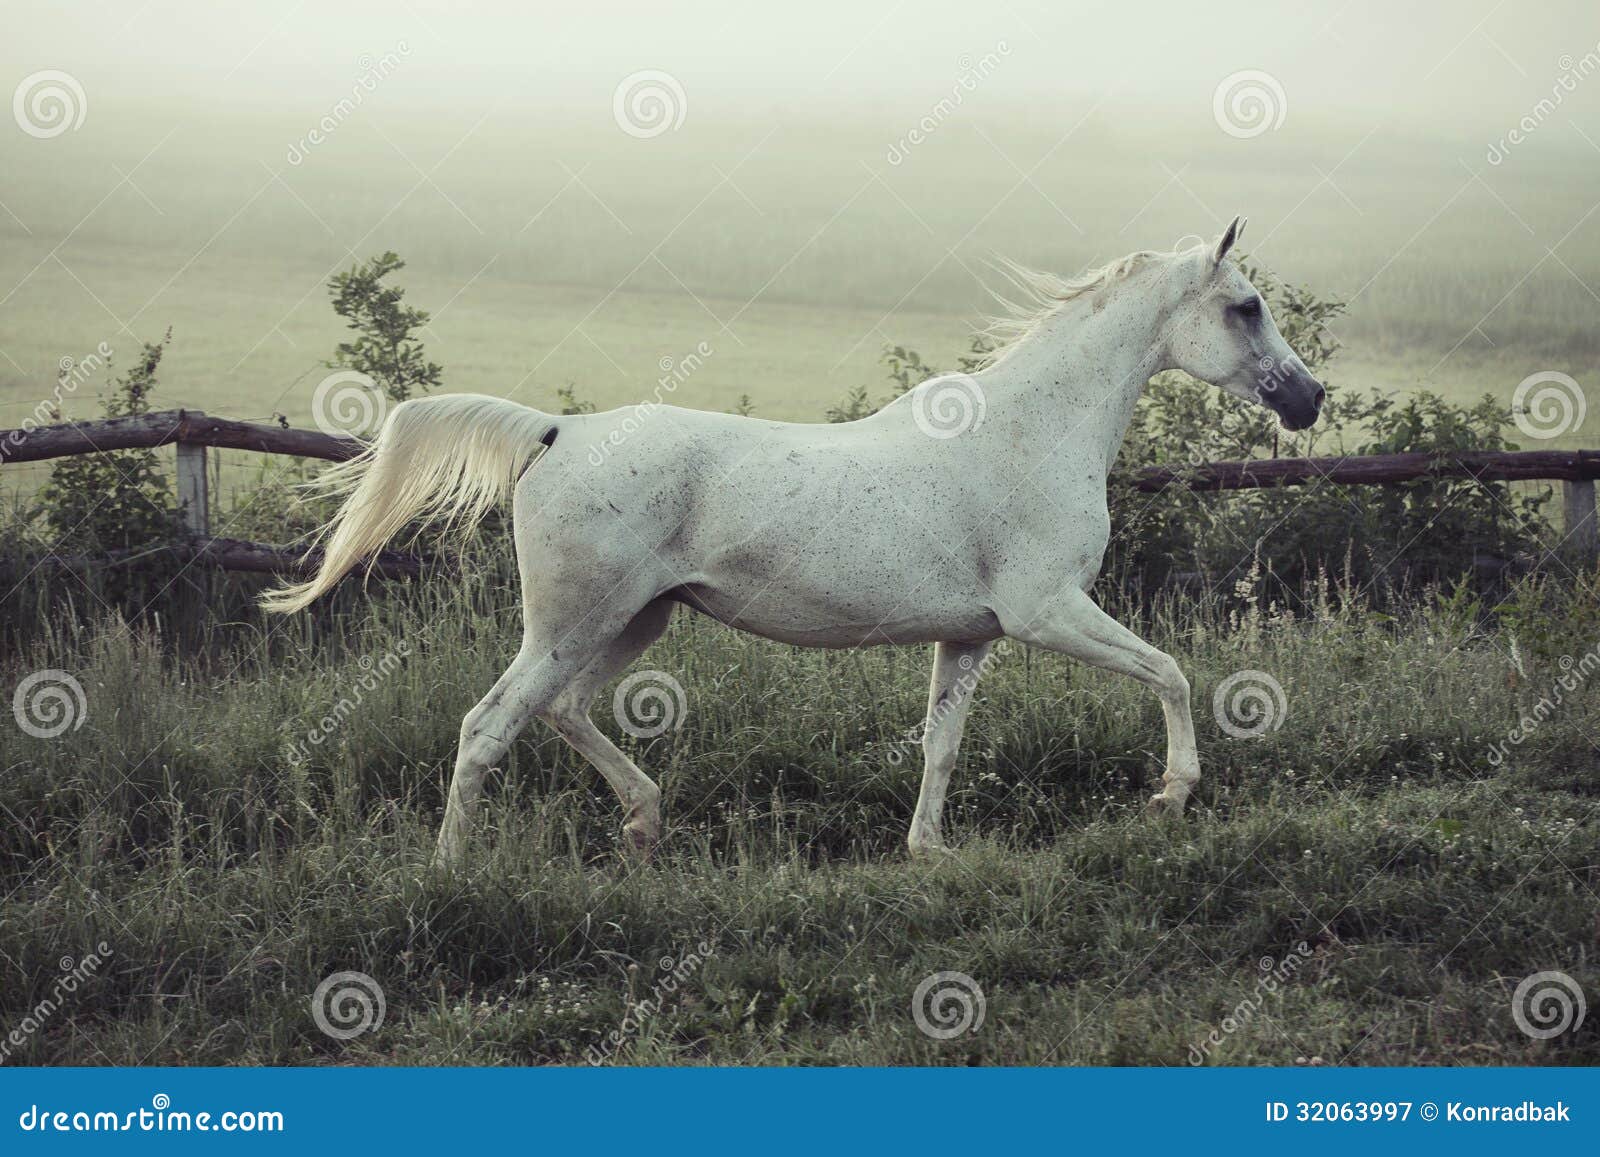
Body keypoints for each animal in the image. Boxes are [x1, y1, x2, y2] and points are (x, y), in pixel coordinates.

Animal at [268, 219, 1324, 870]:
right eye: (1246, 306)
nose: (1309, 400)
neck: (1033, 430)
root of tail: (555, 431)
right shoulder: (1048, 612)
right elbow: (1172, 672)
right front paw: (1173, 797)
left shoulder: (972, 633)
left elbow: (943, 743)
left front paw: (928, 850)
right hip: (571, 622)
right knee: (490, 725)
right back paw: (454, 869)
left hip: (635, 620)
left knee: (561, 710)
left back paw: (646, 823)